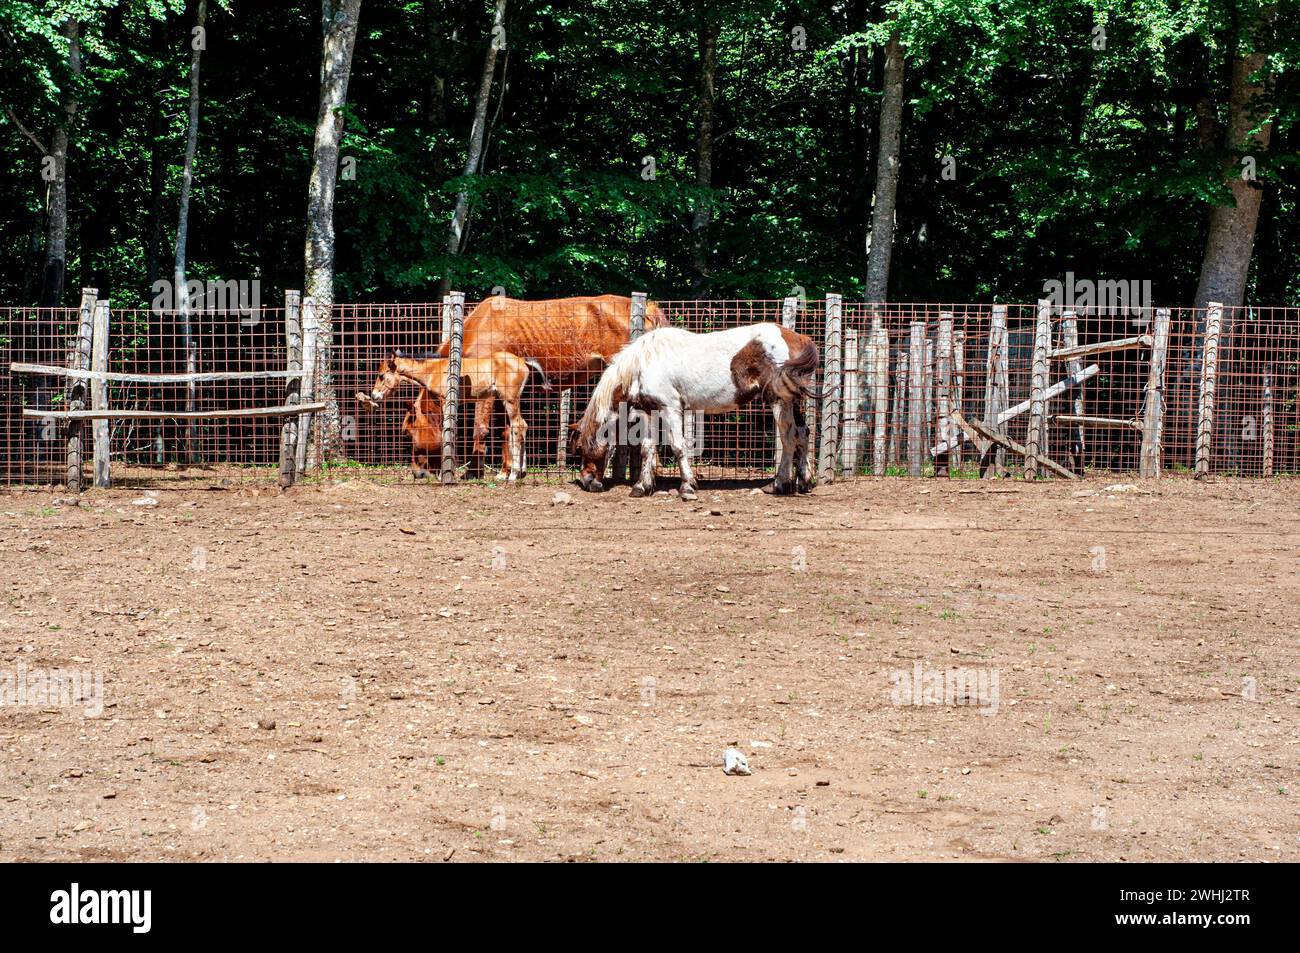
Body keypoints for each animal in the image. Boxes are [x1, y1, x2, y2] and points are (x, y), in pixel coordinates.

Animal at [360, 349, 542, 481]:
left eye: (381, 375)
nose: (374, 396)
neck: (433, 370)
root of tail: (523, 361)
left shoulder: (445, 401)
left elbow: (445, 432)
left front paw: (445, 474)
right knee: (517, 427)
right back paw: (520, 472)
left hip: (509, 399)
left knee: (518, 426)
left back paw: (513, 475)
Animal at [571, 323, 819, 500]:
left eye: (581, 447)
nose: (587, 482)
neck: (643, 363)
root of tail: (798, 337)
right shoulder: (647, 411)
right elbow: (647, 449)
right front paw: (642, 486)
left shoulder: (670, 408)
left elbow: (678, 447)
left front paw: (687, 487)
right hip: (793, 401)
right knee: (803, 433)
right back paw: (805, 481)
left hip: (779, 400)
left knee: (788, 437)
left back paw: (779, 484)